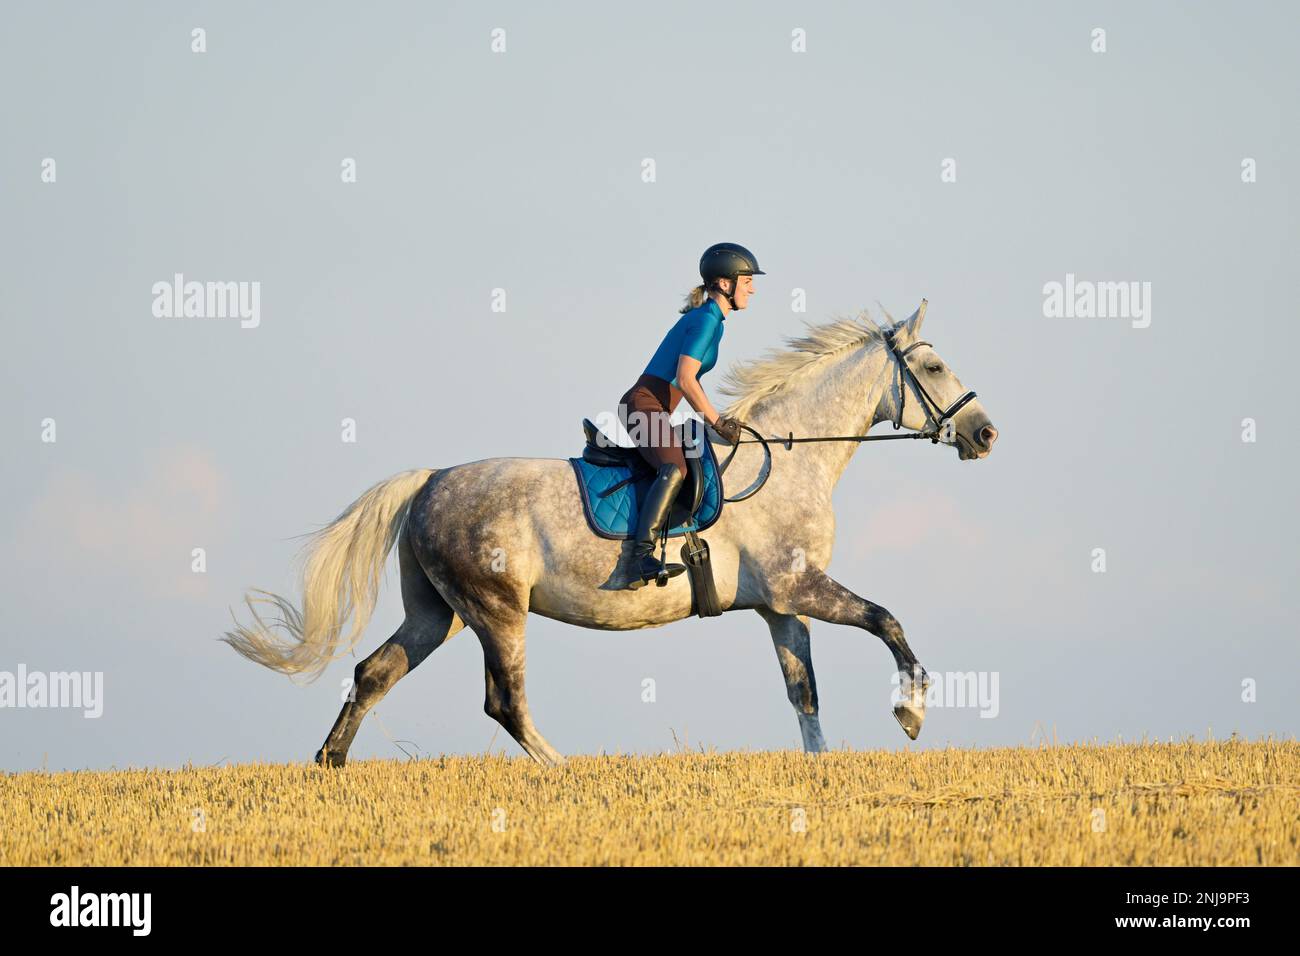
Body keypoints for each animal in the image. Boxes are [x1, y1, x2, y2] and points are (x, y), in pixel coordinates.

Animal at [221, 301, 998, 766]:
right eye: (933, 366)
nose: (985, 433)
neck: (792, 454)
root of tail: (431, 481)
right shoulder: (800, 585)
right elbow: (886, 620)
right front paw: (911, 713)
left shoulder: (779, 604)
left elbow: (803, 693)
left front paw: (820, 767)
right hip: (497, 610)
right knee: (504, 701)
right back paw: (563, 771)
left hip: (438, 612)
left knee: (375, 672)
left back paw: (329, 765)